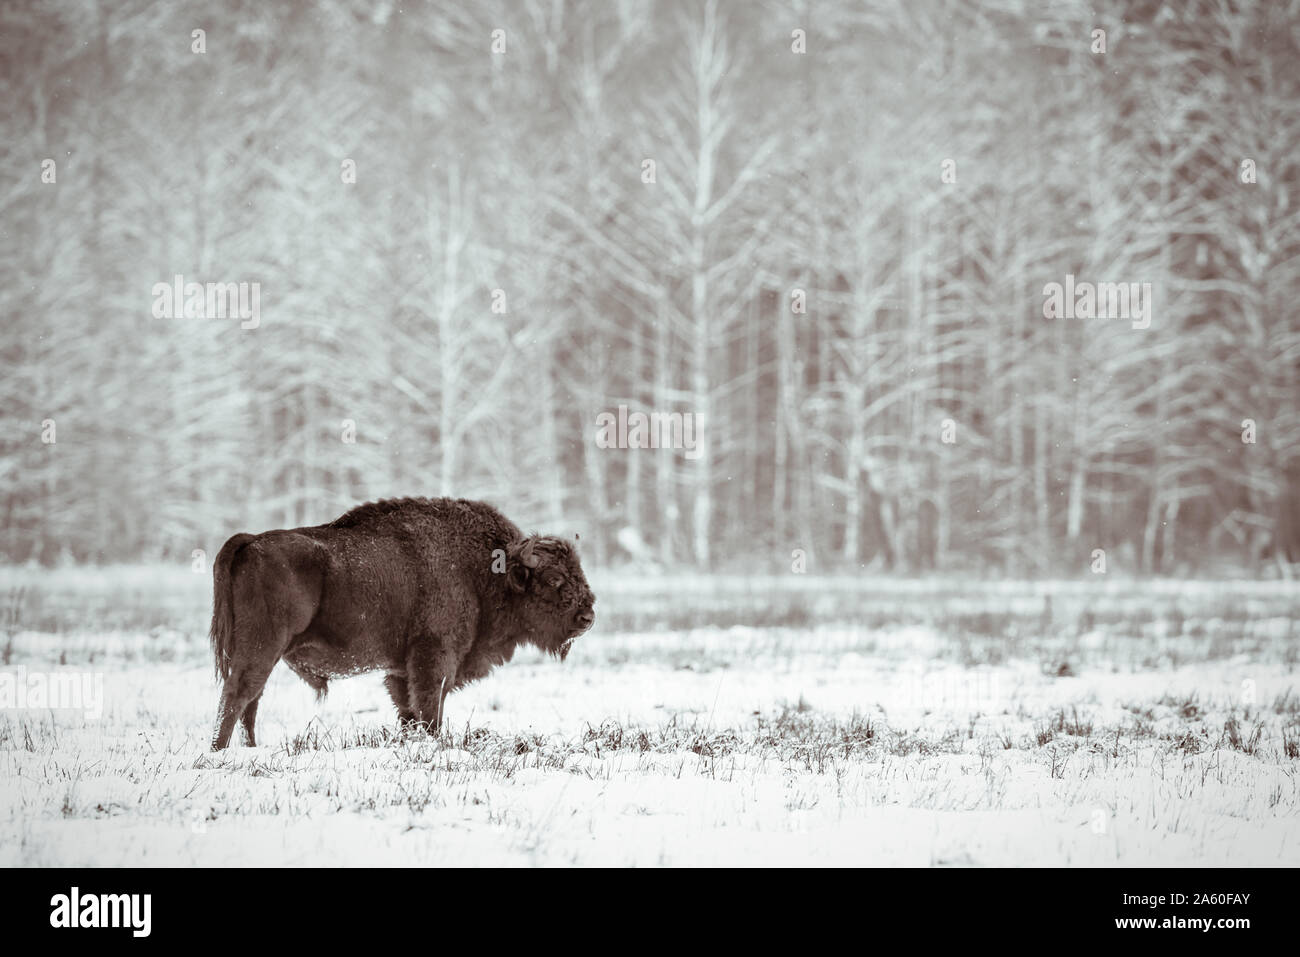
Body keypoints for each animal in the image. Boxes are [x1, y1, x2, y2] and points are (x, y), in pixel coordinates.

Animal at [208, 497, 596, 749]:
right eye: (554, 579)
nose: (588, 616)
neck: (485, 571)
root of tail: (250, 542)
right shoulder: (435, 657)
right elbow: (430, 707)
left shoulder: (400, 669)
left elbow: (408, 710)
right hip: (262, 646)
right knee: (238, 694)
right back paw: (219, 751)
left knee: (251, 700)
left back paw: (249, 748)